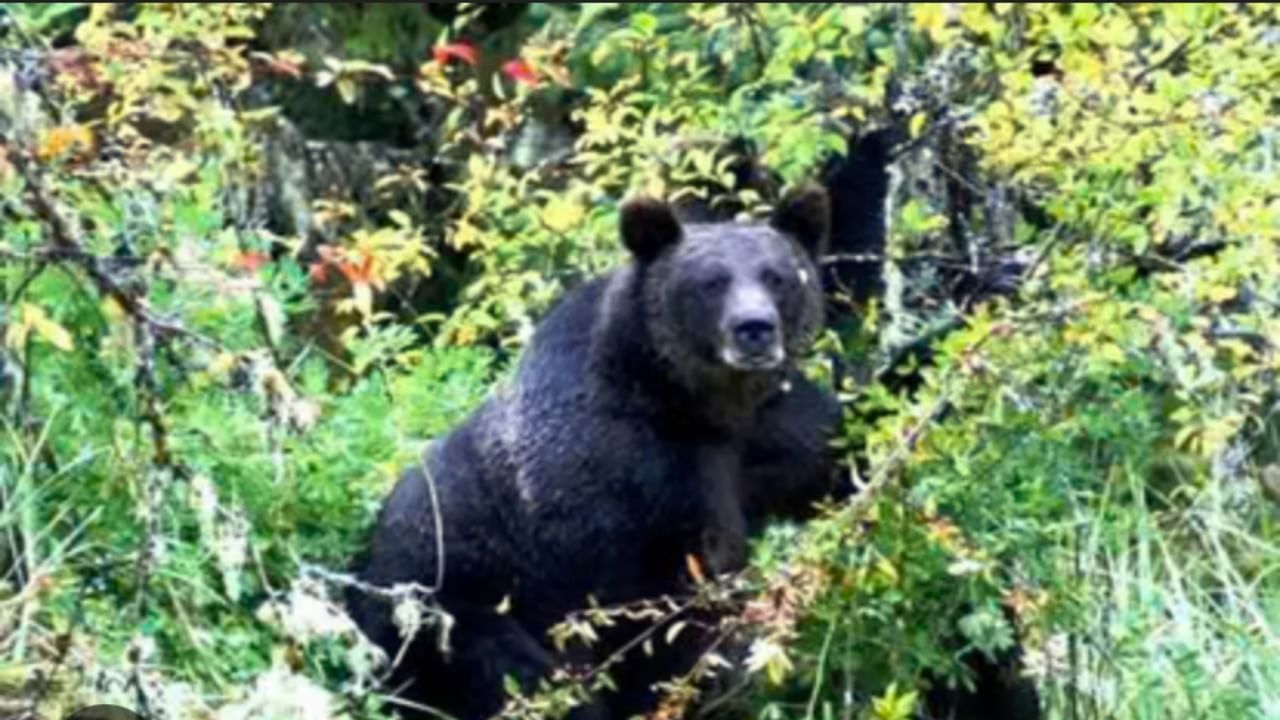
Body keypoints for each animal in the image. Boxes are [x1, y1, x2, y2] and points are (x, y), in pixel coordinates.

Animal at [347, 184, 845, 720]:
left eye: (777, 276)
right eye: (711, 282)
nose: (754, 328)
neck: (694, 403)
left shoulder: (774, 430)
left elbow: (822, 456)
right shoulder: (619, 480)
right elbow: (652, 613)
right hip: (442, 604)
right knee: (510, 671)